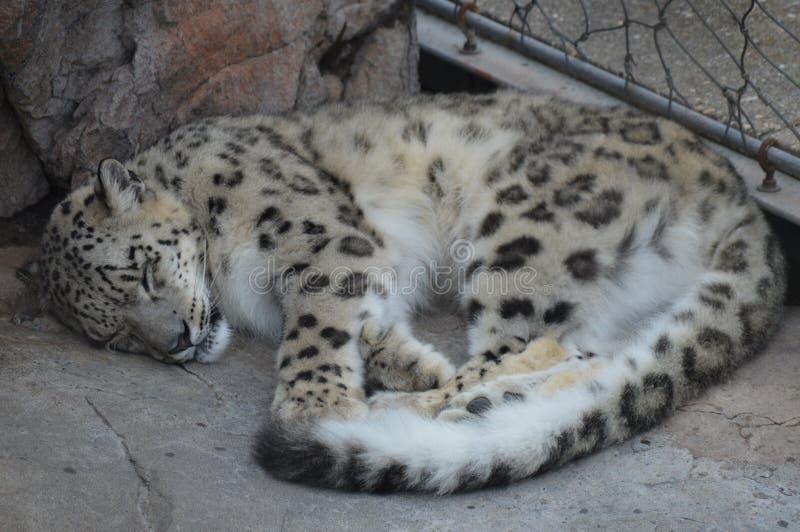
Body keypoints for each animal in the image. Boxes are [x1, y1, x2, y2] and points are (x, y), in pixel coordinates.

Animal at [30, 90, 786, 493]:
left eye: (142, 271)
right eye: (115, 336)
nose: (178, 342)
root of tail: (737, 190)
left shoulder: (322, 239)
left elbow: (314, 329)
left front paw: (318, 405)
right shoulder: (364, 266)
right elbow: (365, 321)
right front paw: (408, 360)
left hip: (523, 233)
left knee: (524, 344)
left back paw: (404, 411)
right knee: (582, 354)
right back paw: (466, 401)